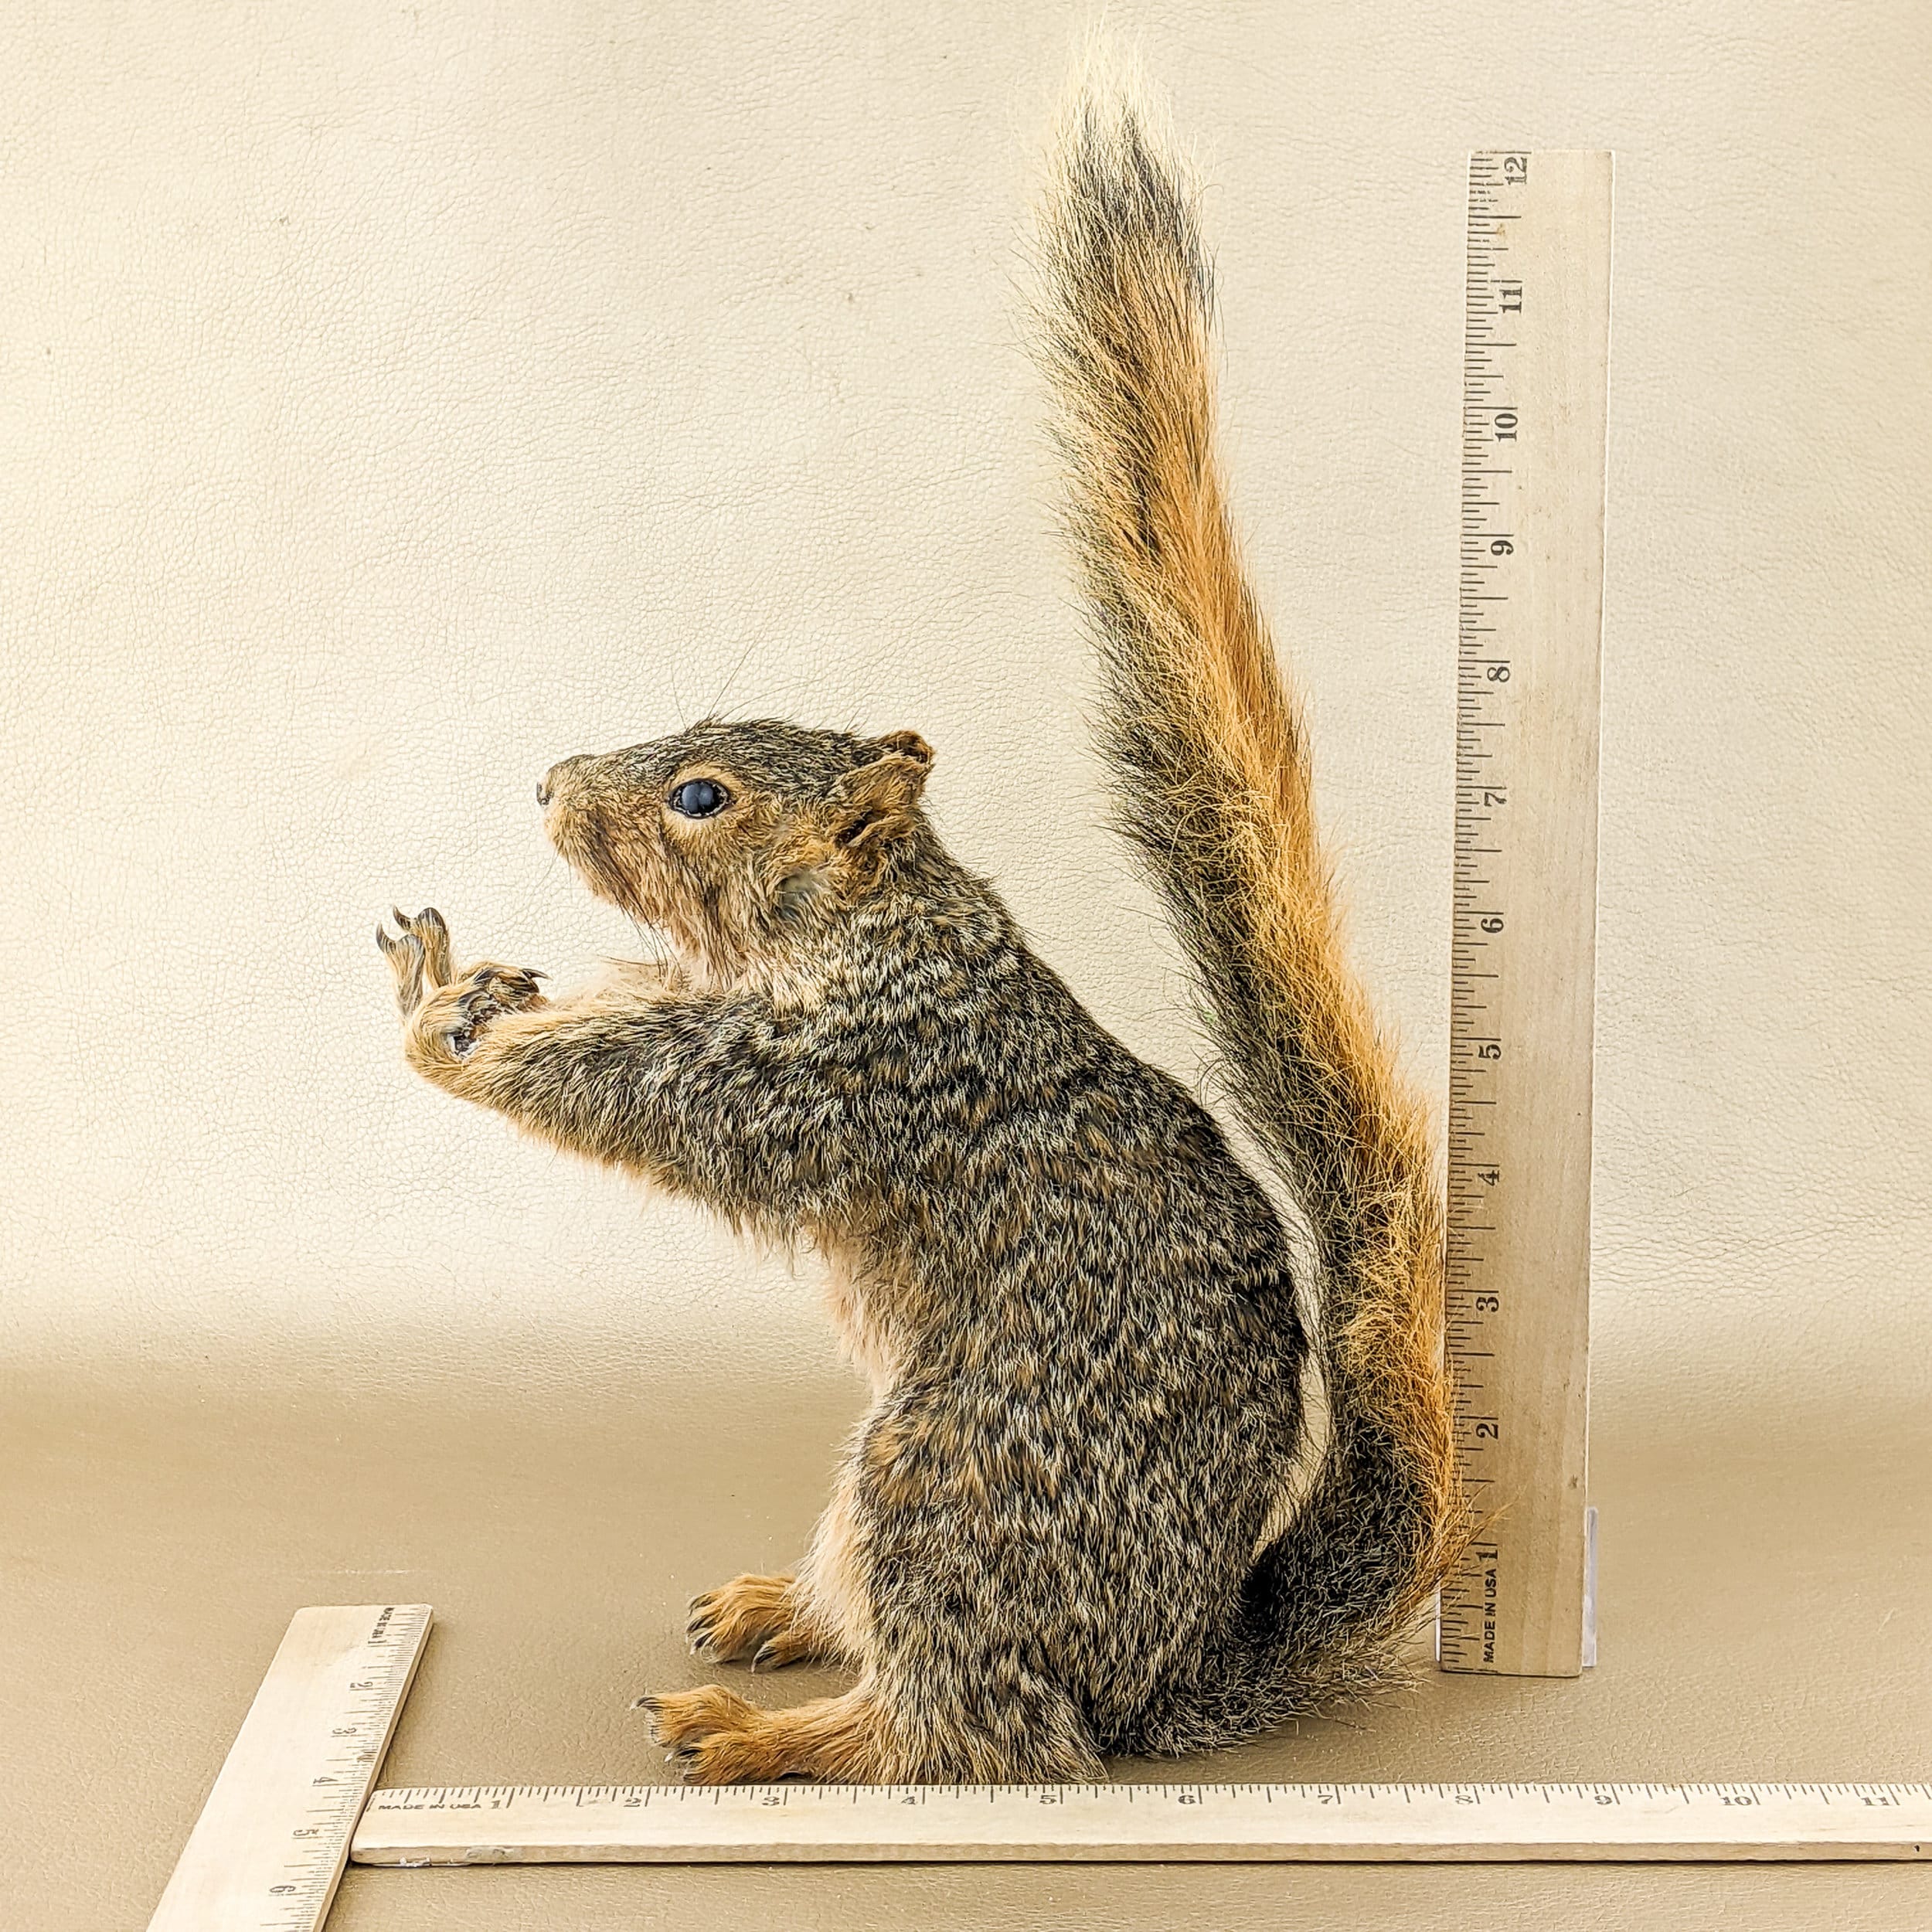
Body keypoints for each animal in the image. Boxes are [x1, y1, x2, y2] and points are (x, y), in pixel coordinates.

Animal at [376, 83, 1461, 1784]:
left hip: (947, 1485)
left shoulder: (847, 1074)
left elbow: (631, 1087)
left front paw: (440, 1017)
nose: (549, 782)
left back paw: (764, 1738)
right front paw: (475, 976)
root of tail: (1157, 1681)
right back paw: (775, 1610)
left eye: (701, 793)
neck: (883, 924)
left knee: (969, 1733)